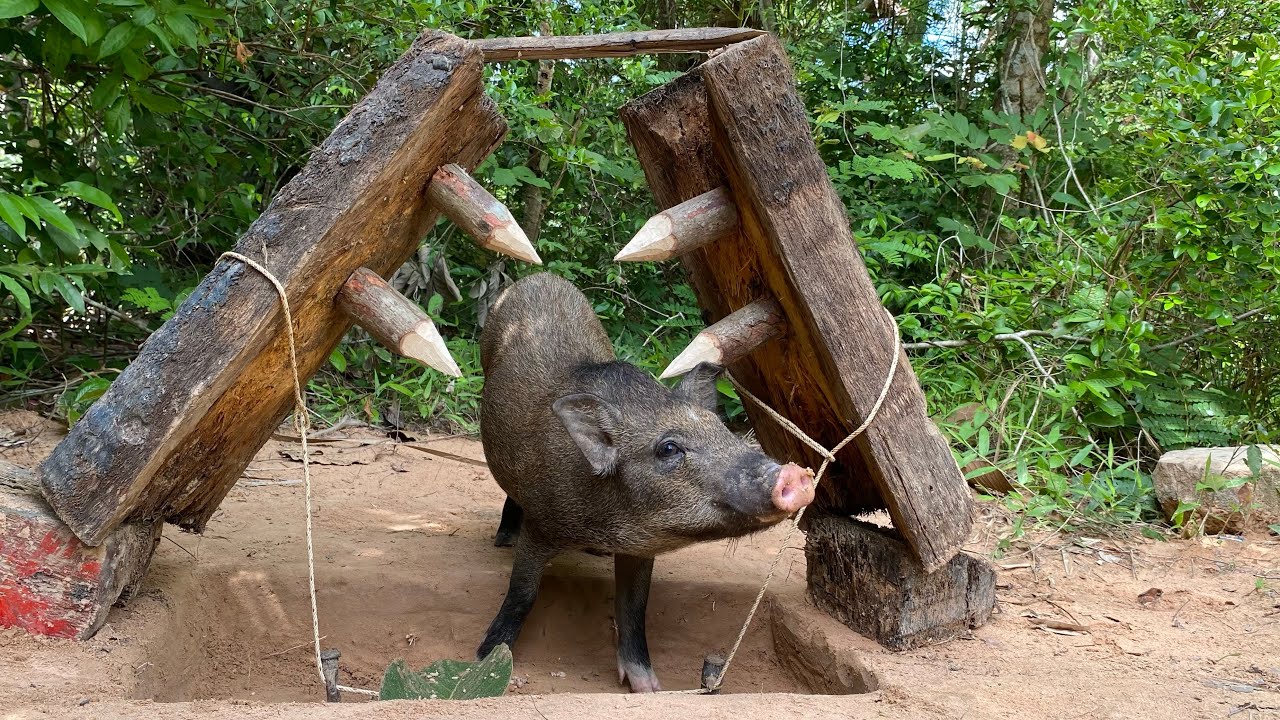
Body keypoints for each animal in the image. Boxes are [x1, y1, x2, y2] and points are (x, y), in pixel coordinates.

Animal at [475, 272, 814, 692]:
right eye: (668, 448)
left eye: (723, 431)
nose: (795, 474)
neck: (609, 524)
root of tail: (540, 277)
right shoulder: (542, 523)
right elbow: (522, 593)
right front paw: (483, 660)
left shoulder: (641, 548)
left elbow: (634, 608)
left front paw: (651, 689)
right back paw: (503, 539)